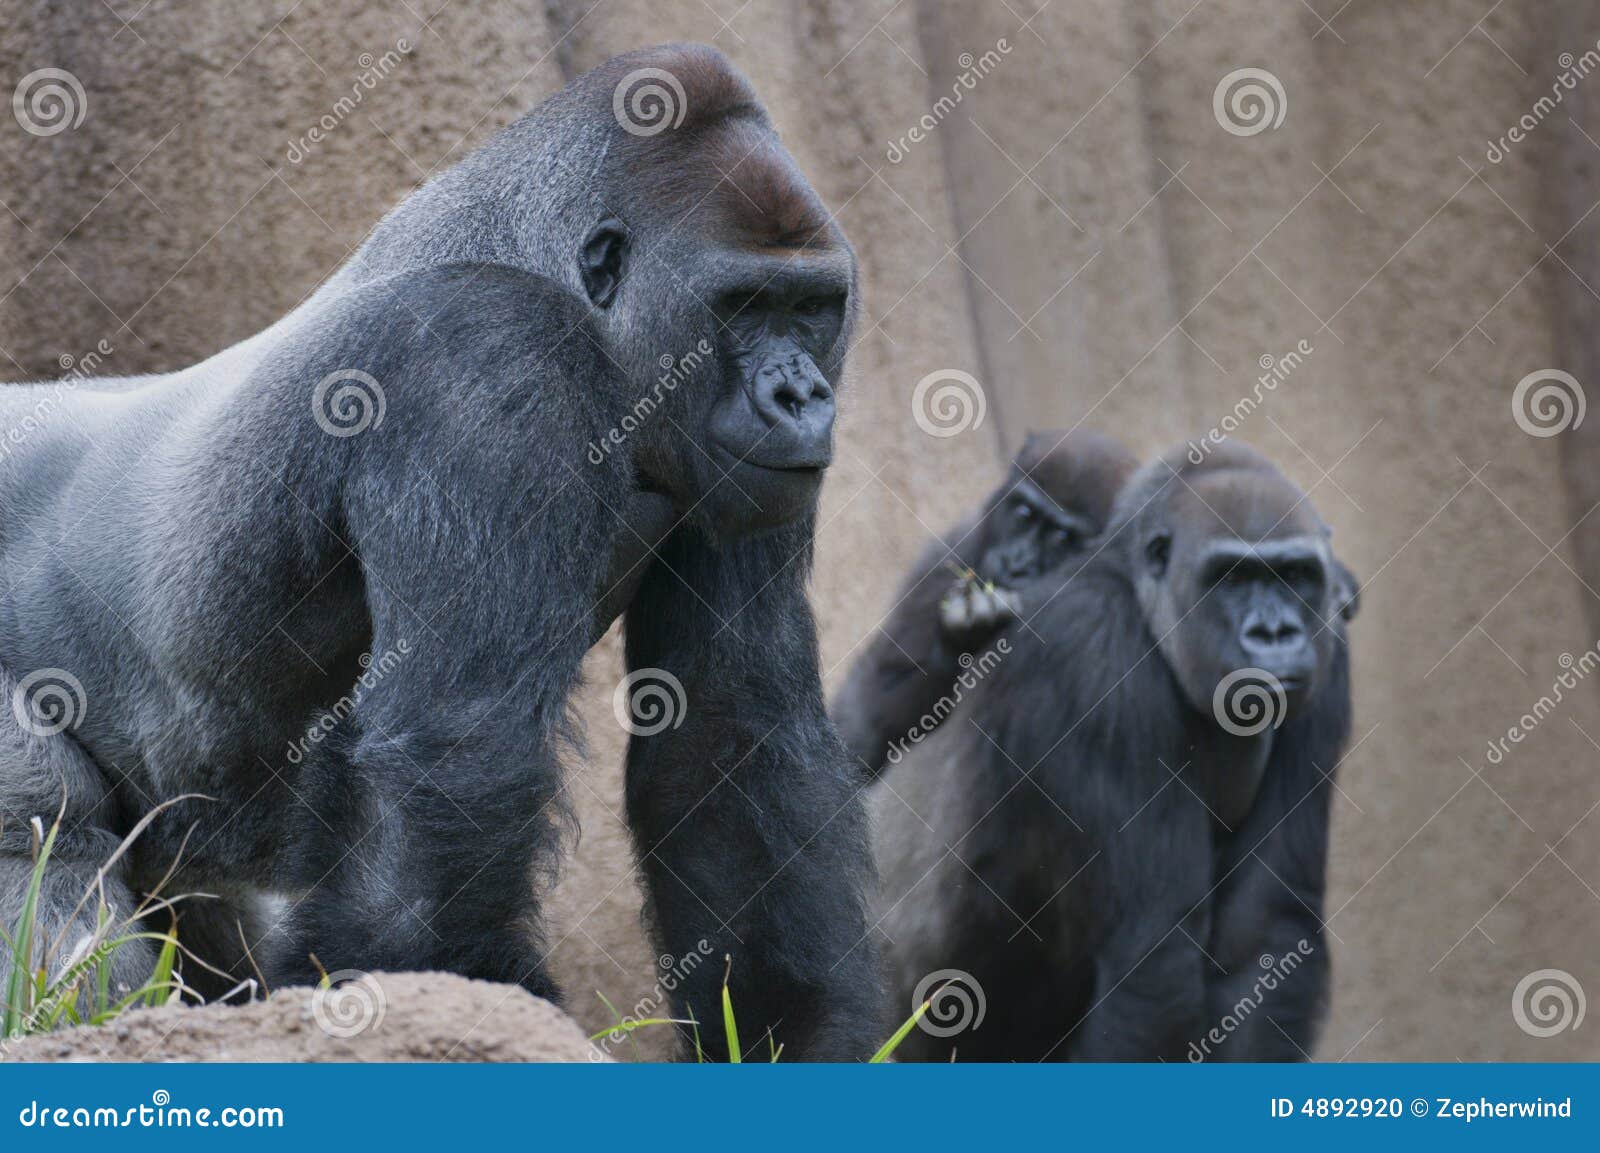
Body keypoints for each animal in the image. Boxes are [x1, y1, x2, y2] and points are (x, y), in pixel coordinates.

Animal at [0, 43, 882, 1060]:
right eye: (742, 306)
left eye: (811, 307)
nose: (804, 397)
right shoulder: (486, 356)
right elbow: (457, 746)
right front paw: (457, 1006)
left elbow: (733, 734)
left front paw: (793, 1034)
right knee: (48, 832)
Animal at [872, 441, 1358, 1061]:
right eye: (1231, 576)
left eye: (1295, 575)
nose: (1275, 633)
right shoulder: (1095, 650)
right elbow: (1151, 957)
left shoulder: (1330, 642)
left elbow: (1263, 932)